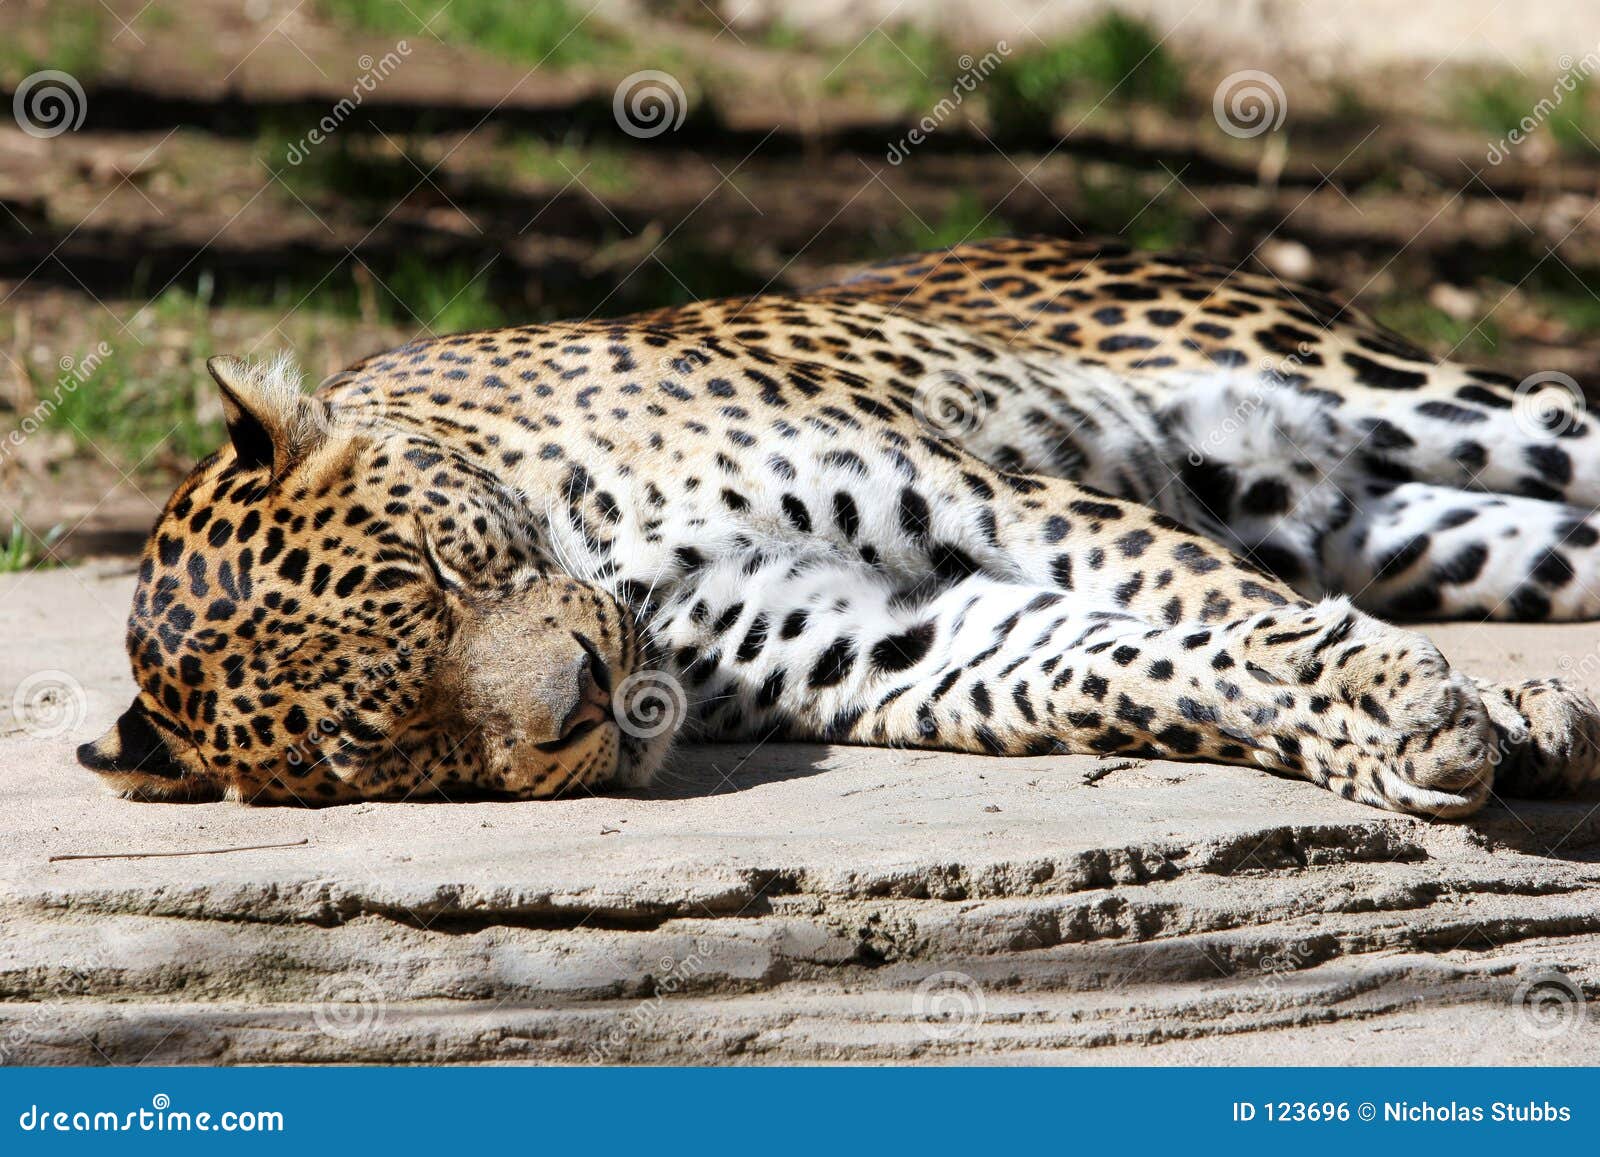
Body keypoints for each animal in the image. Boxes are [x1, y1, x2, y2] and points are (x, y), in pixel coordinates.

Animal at [78, 236, 1600, 818]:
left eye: (442, 570)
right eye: (385, 747)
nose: (581, 697)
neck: (610, 553)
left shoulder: (988, 496)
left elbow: (1207, 595)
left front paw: (1430, 700)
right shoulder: (907, 639)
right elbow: (1129, 667)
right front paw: (1393, 732)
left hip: (1402, 392)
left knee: (1548, 415)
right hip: (1418, 529)